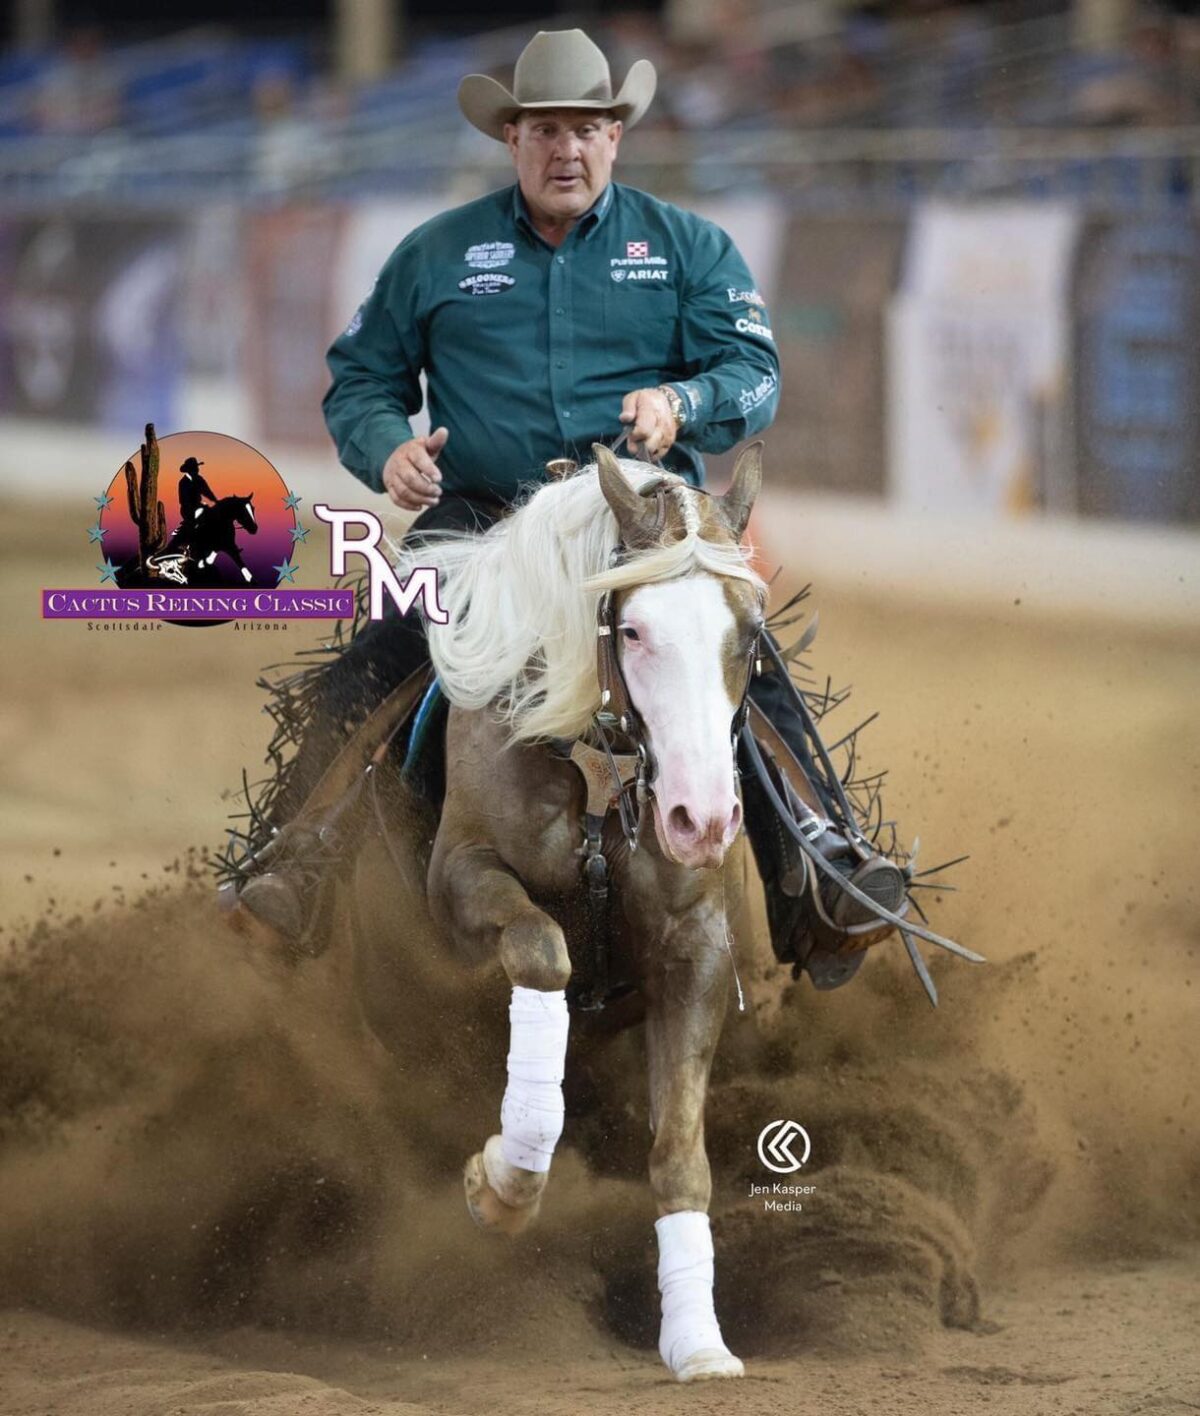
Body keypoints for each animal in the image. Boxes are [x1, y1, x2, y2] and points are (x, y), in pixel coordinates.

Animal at [353, 443, 767, 1384]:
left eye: (750, 632)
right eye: (635, 629)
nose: (702, 819)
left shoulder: (698, 948)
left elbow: (679, 1154)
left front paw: (699, 1341)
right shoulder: (460, 879)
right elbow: (541, 952)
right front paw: (504, 1182)